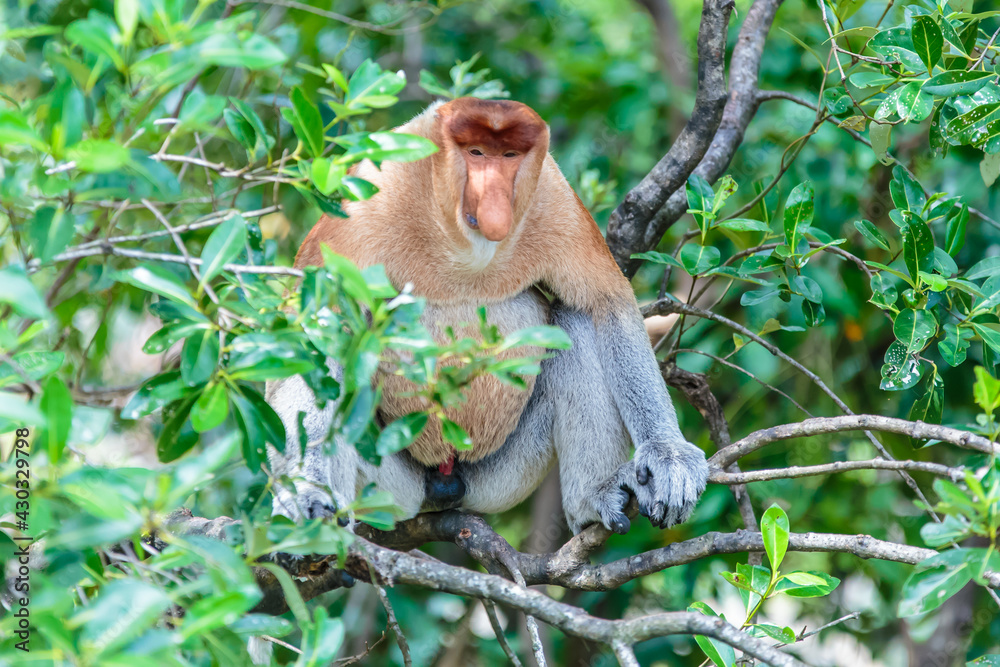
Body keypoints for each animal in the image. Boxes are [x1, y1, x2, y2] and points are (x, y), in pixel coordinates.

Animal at [265, 98, 708, 535]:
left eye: (509, 155)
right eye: (476, 153)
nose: (494, 197)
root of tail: (444, 483)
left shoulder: (554, 197)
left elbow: (606, 304)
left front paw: (669, 458)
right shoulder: (365, 203)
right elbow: (312, 335)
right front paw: (304, 493)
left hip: (500, 477)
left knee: (577, 324)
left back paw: (593, 497)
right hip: (390, 479)